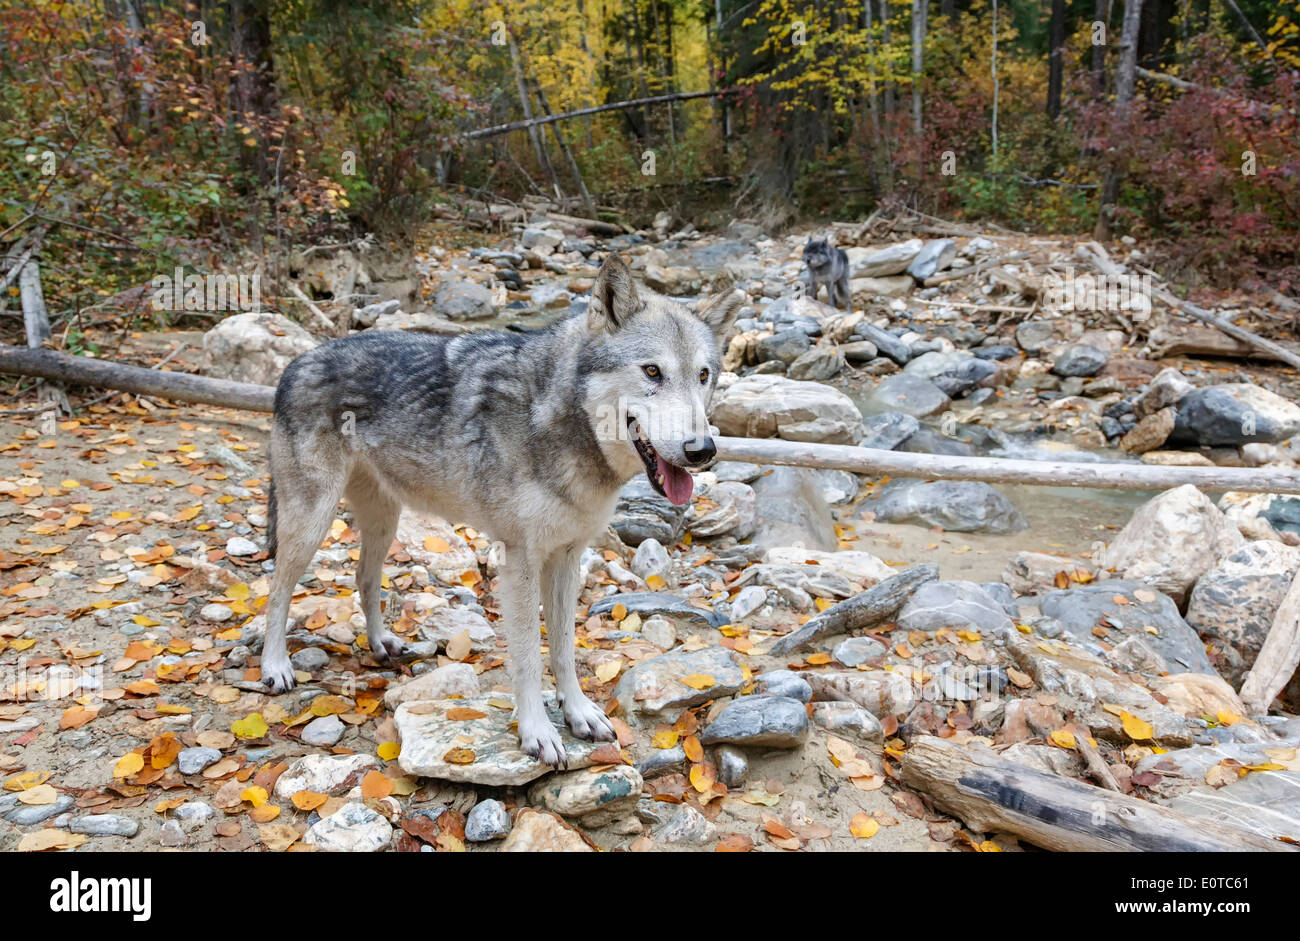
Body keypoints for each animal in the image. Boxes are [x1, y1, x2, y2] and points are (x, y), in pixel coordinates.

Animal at [262, 254, 744, 767]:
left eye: (703, 376)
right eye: (652, 372)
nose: (702, 450)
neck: (554, 417)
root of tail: (296, 362)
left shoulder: (568, 558)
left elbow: (564, 648)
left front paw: (578, 713)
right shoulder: (520, 560)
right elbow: (529, 656)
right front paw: (538, 733)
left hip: (383, 522)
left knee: (364, 579)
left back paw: (382, 644)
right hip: (312, 523)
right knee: (277, 590)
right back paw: (275, 666)